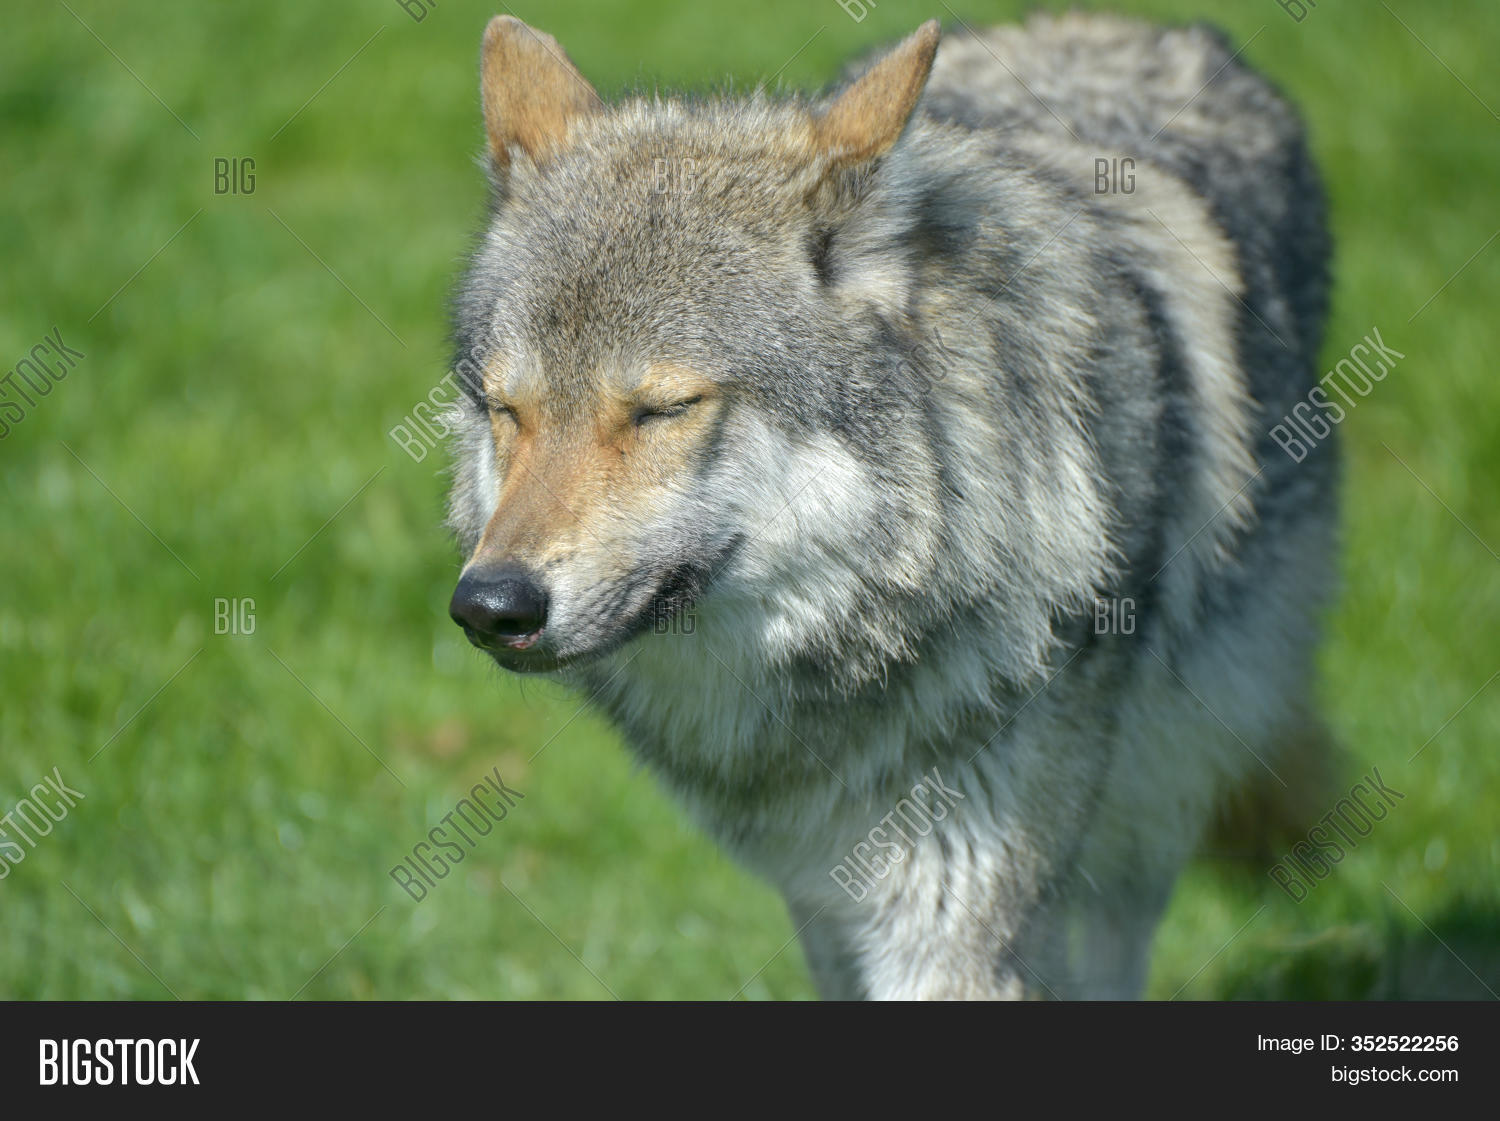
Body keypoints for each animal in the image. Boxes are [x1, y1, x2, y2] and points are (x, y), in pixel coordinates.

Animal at [443, 12, 1336, 999]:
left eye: (661, 409)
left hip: (1147, 818)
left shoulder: (954, 920)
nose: (490, 604)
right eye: (506, 410)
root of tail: (1119, 25)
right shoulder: (825, 903)